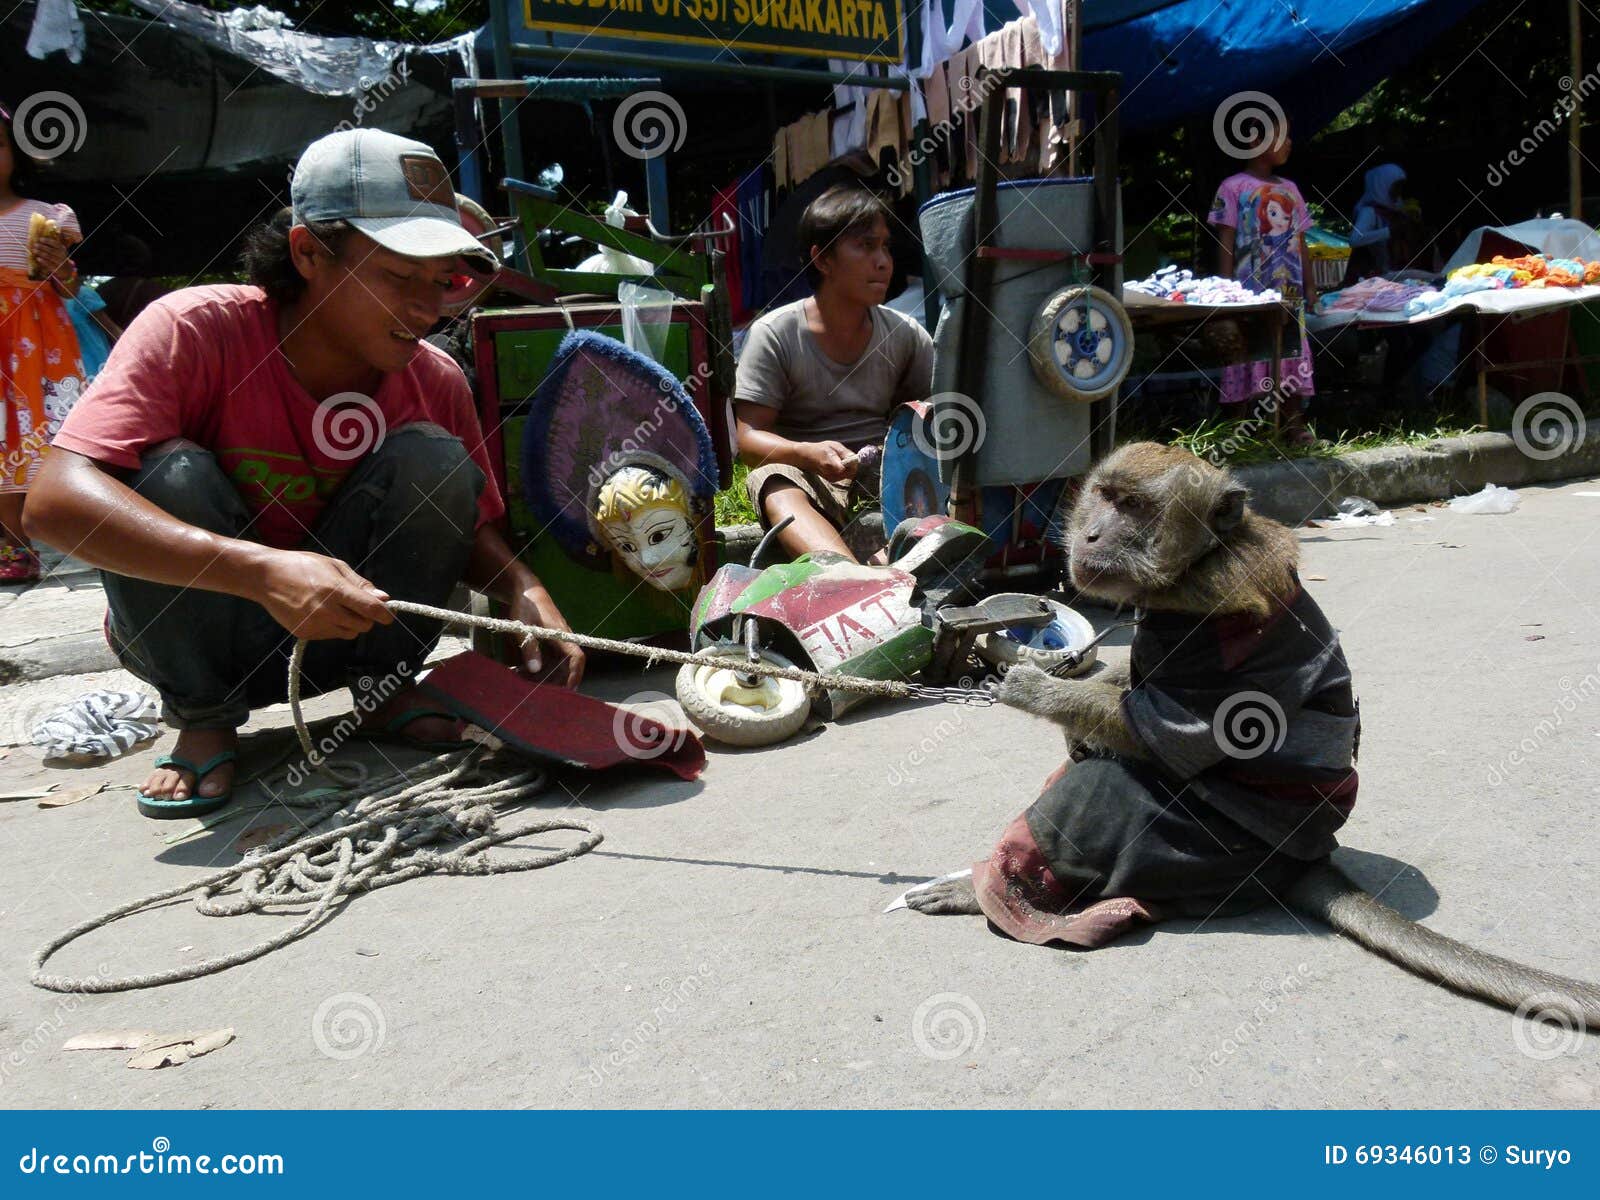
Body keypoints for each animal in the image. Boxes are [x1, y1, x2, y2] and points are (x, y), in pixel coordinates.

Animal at [906, 442, 1600, 1028]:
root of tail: (1311, 858)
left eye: (1134, 507)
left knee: (1106, 790)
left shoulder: (1203, 625)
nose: (1093, 534)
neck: (1200, 560)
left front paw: (1035, 692)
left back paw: (986, 890)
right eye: (1104, 496)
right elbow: (1127, 691)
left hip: (1221, 850)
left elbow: (1156, 729)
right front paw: (1073, 721)